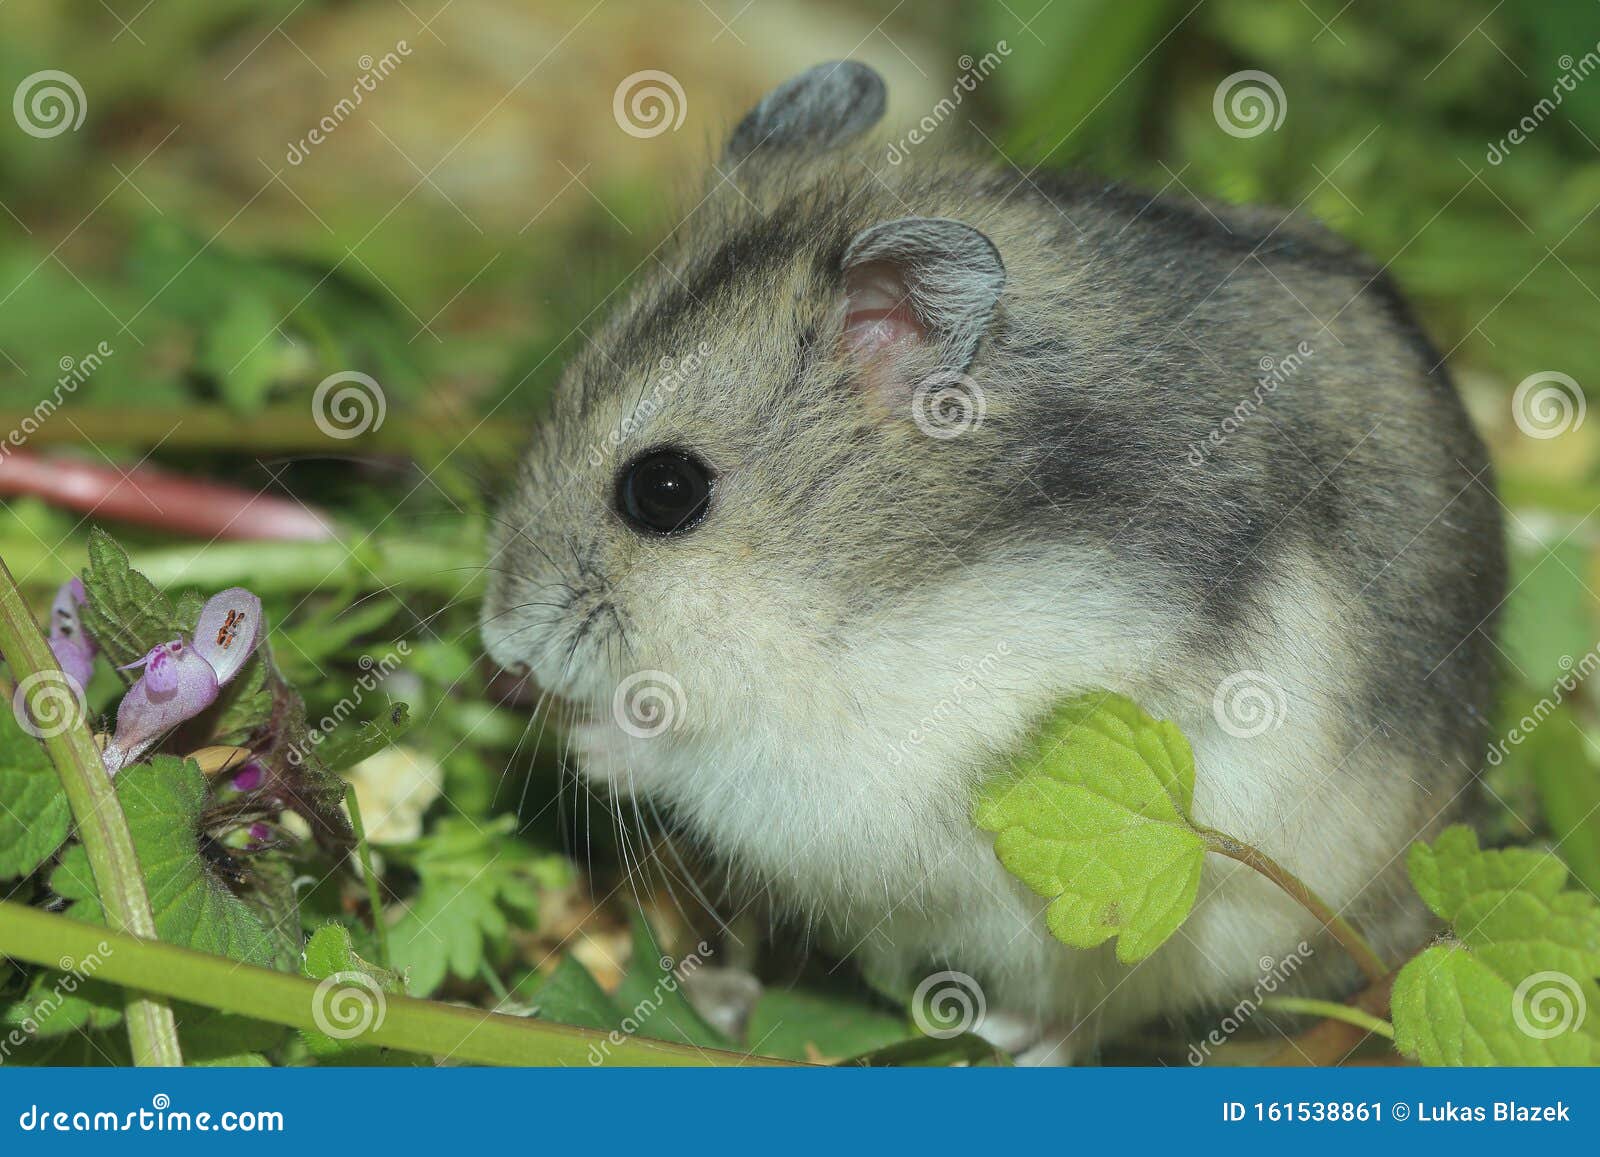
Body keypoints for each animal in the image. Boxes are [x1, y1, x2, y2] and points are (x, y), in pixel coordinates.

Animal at [482, 61, 1505, 1061]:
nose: (502, 653)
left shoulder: (879, 750)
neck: (847, 576)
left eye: (664, 491)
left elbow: (714, 760)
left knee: (1093, 1017)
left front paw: (593, 744)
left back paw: (1001, 1034)